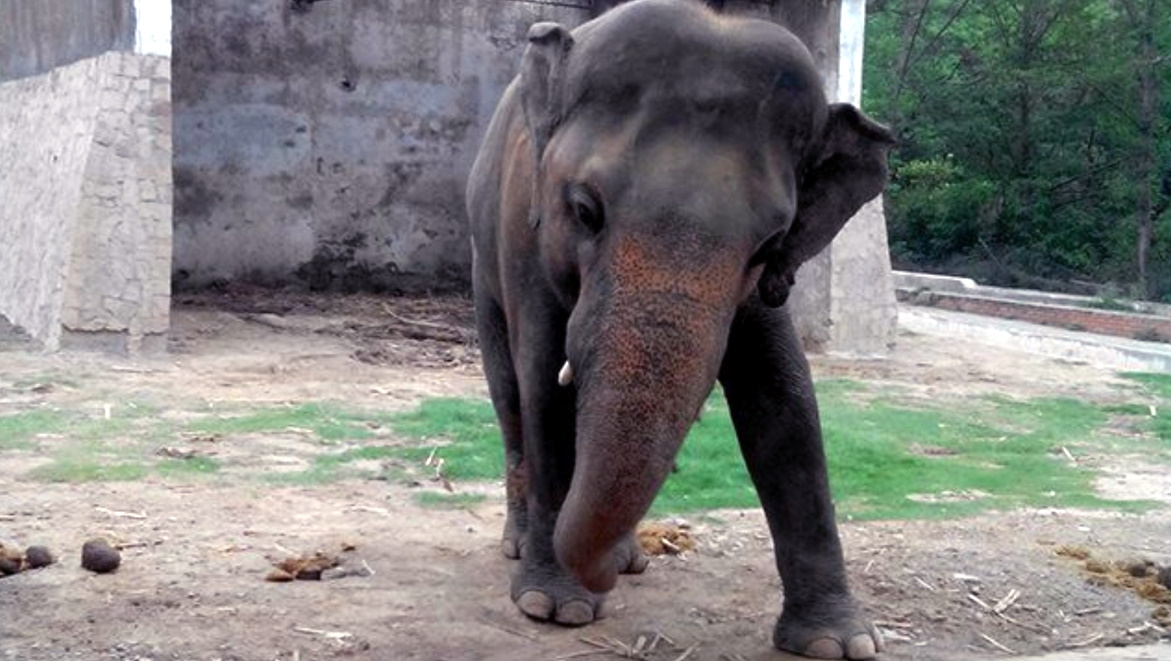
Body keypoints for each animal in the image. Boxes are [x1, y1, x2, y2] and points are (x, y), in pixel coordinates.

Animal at [465, 1, 894, 658]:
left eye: (769, 245)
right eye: (584, 210)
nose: (606, 574)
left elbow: (786, 403)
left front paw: (838, 643)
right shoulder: (523, 231)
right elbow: (542, 384)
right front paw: (556, 608)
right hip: (482, 264)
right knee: (509, 394)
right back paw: (523, 546)